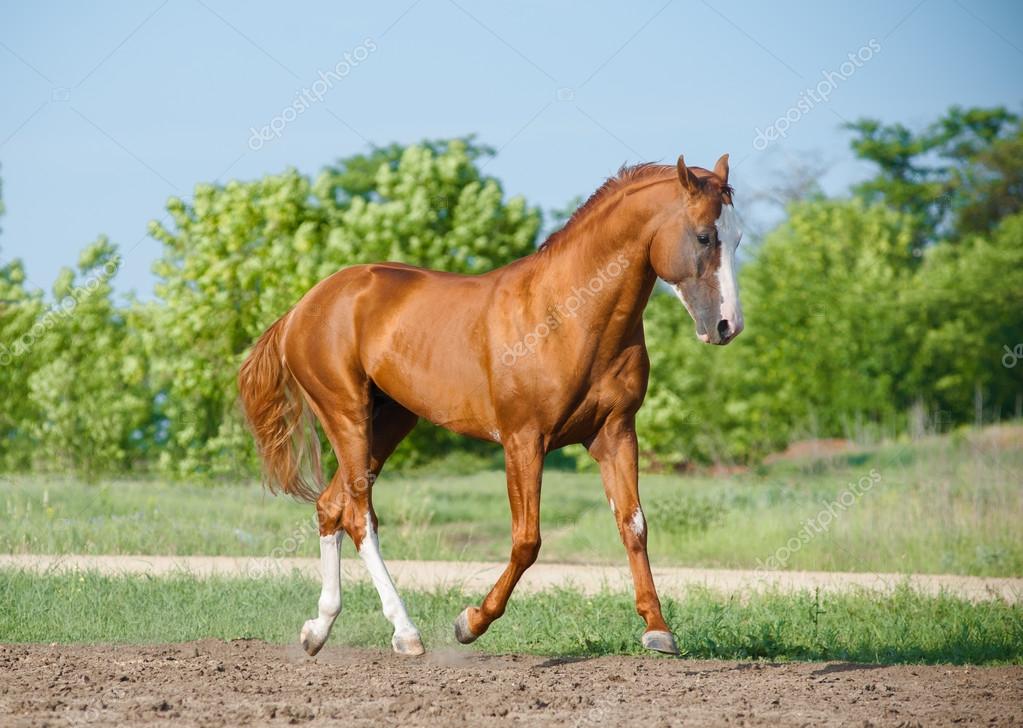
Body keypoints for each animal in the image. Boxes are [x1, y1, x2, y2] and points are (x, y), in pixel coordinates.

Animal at [238, 153, 743, 657]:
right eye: (704, 235)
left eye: (737, 237)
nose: (727, 326)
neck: (567, 314)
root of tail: (302, 309)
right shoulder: (523, 440)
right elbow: (527, 540)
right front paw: (470, 622)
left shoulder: (615, 434)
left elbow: (633, 525)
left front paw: (658, 629)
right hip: (348, 418)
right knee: (361, 516)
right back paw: (405, 632)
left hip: (390, 423)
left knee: (331, 507)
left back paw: (317, 630)